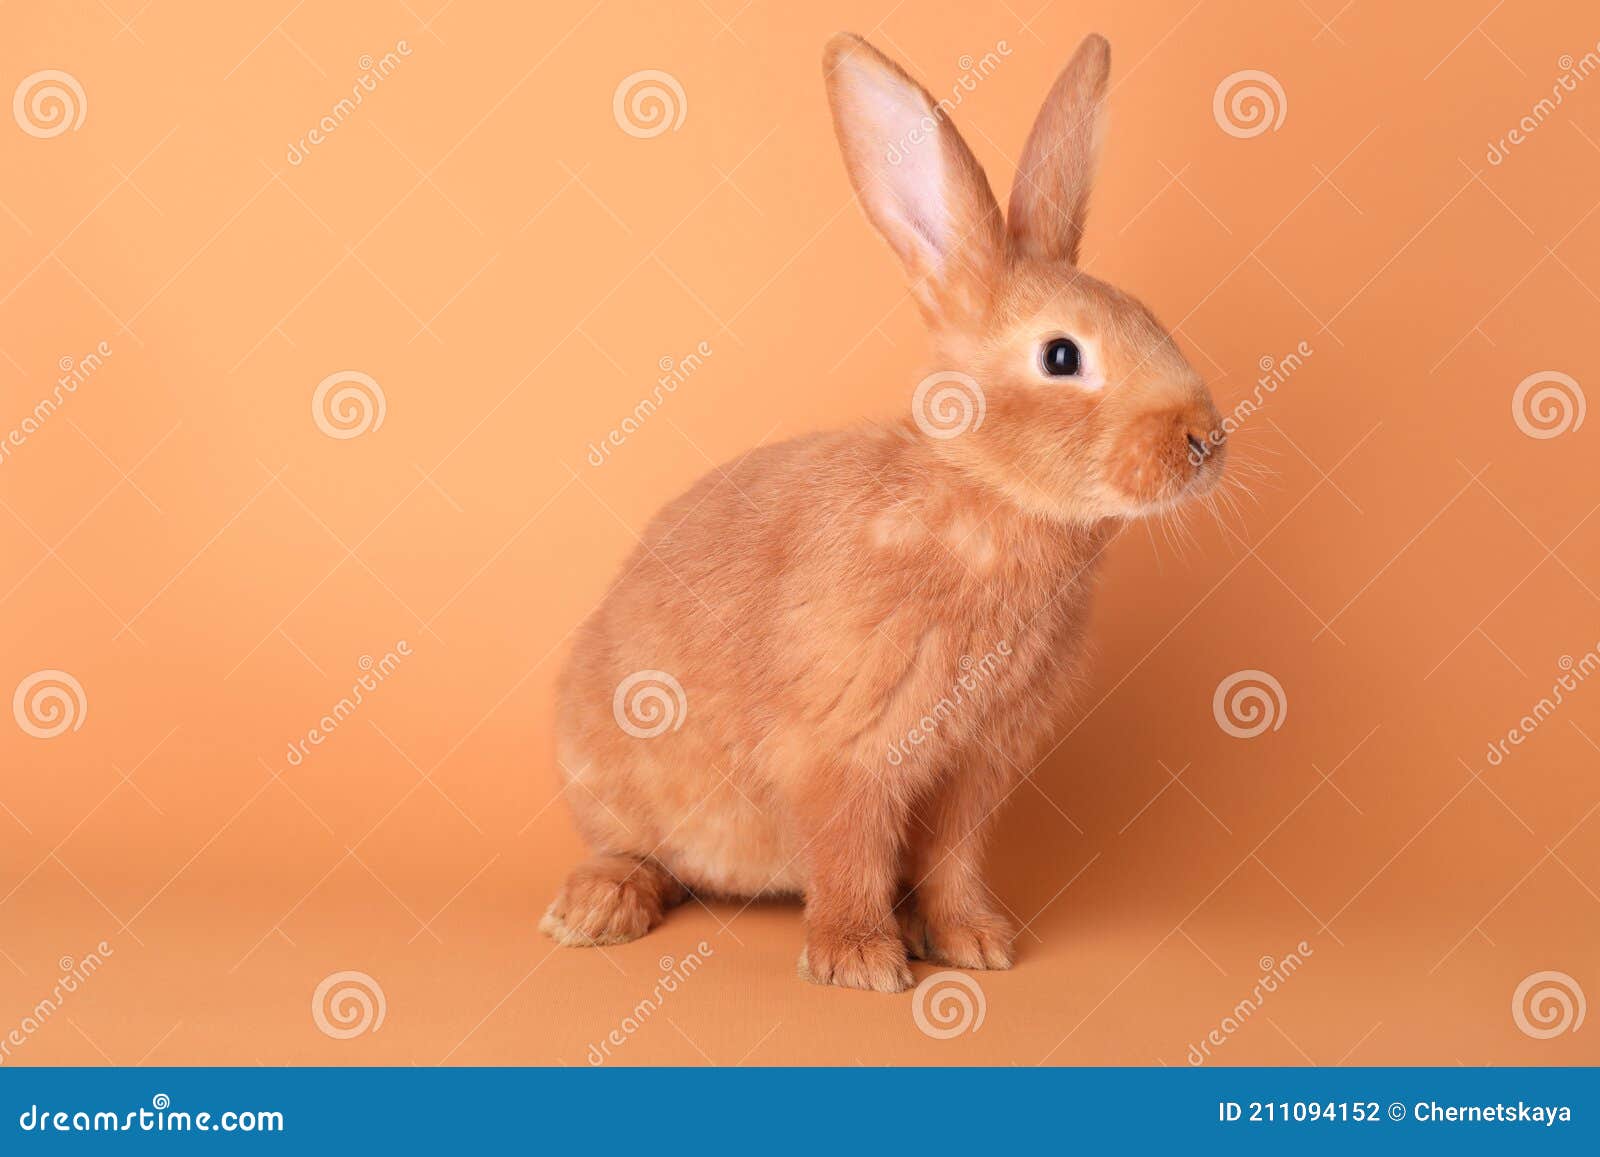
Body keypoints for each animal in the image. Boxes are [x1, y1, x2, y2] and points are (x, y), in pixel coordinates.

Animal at [541, 31, 1226, 992]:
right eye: (1061, 356)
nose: (1206, 439)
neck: (982, 497)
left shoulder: (975, 766)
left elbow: (953, 859)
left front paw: (976, 943)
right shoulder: (843, 751)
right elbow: (850, 850)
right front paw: (861, 962)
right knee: (639, 851)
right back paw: (597, 908)